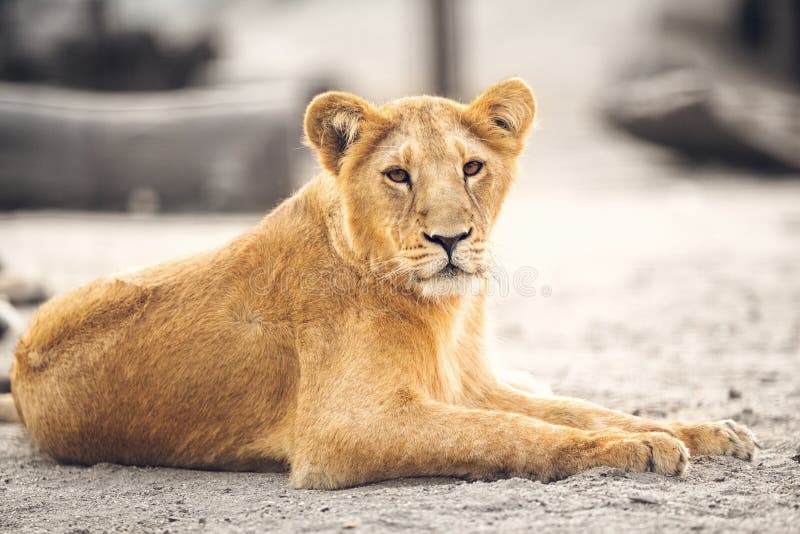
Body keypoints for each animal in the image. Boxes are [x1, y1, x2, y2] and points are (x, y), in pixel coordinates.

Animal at [0, 79, 758, 489]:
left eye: (472, 167)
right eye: (398, 174)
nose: (451, 239)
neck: (444, 313)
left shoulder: (469, 383)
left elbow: (585, 409)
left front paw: (697, 431)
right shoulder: (346, 429)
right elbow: (507, 434)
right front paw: (634, 451)